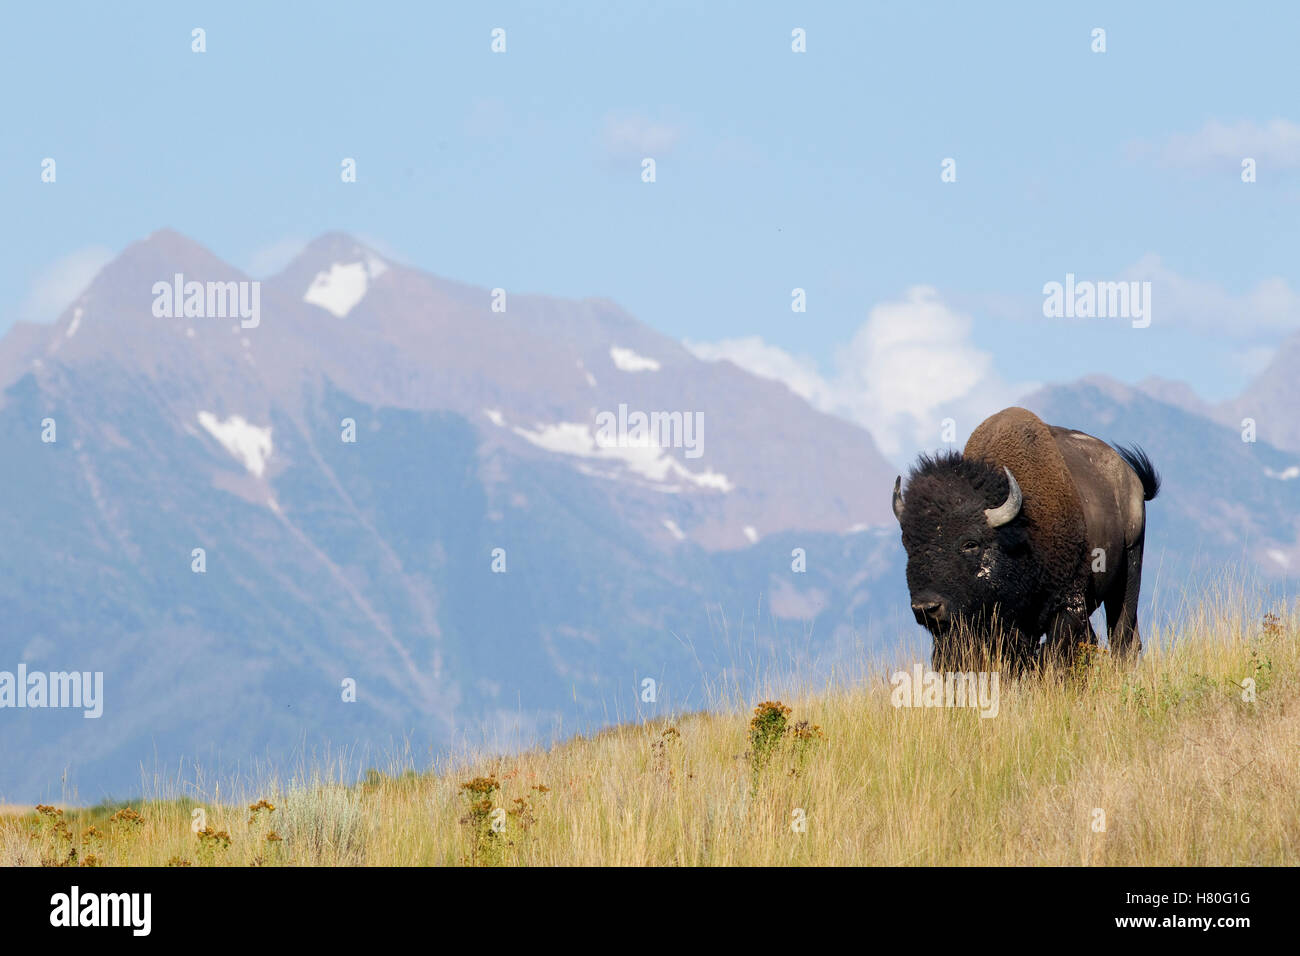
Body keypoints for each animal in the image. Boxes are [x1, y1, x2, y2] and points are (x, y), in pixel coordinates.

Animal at [892, 407, 1159, 670]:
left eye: (970, 543)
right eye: (908, 545)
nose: (926, 608)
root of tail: (1130, 476)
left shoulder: (1067, 606)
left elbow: (1054, 658)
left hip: (1129, 566)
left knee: (1123, 636)